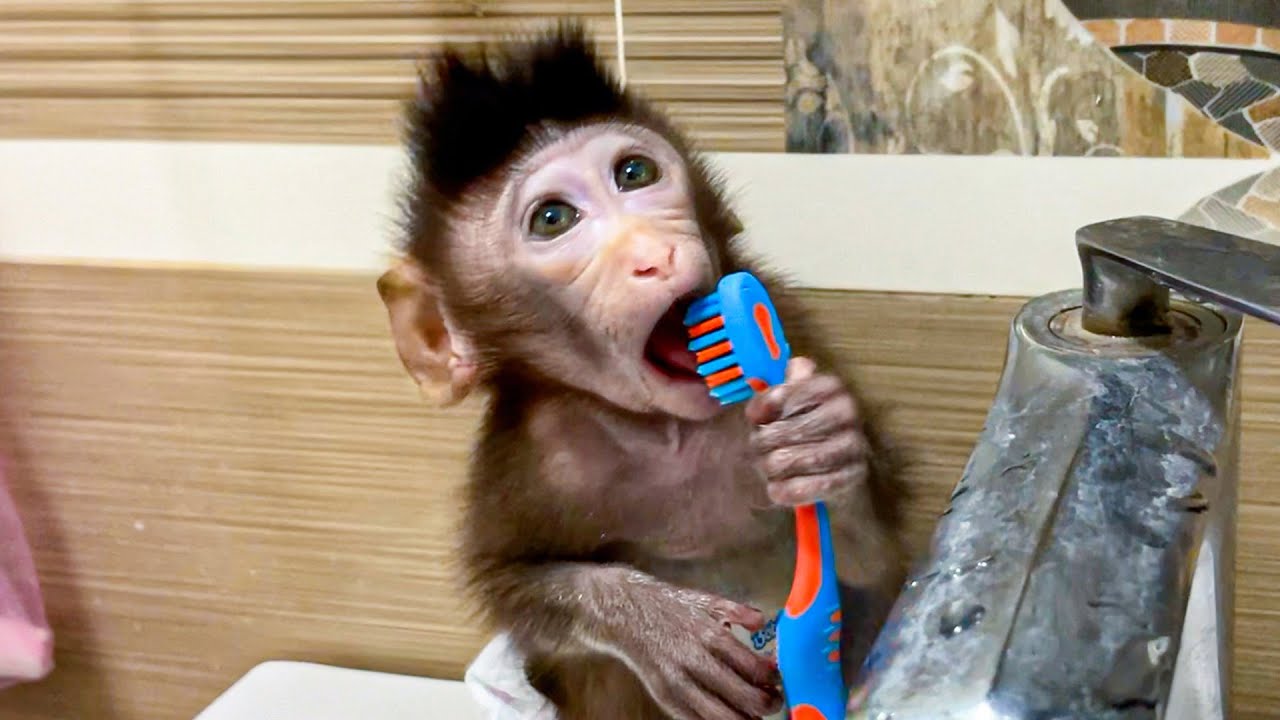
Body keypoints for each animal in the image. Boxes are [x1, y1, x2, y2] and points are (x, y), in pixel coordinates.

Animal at [376, 21, 906, 720]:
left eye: (635, 173)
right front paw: (653, 624)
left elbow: (877, 568)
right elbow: (516, 586)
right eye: (553, 219)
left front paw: (822, 439)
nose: (654, 254)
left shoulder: (793, 325)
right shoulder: (532, 455)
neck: (665, 429)